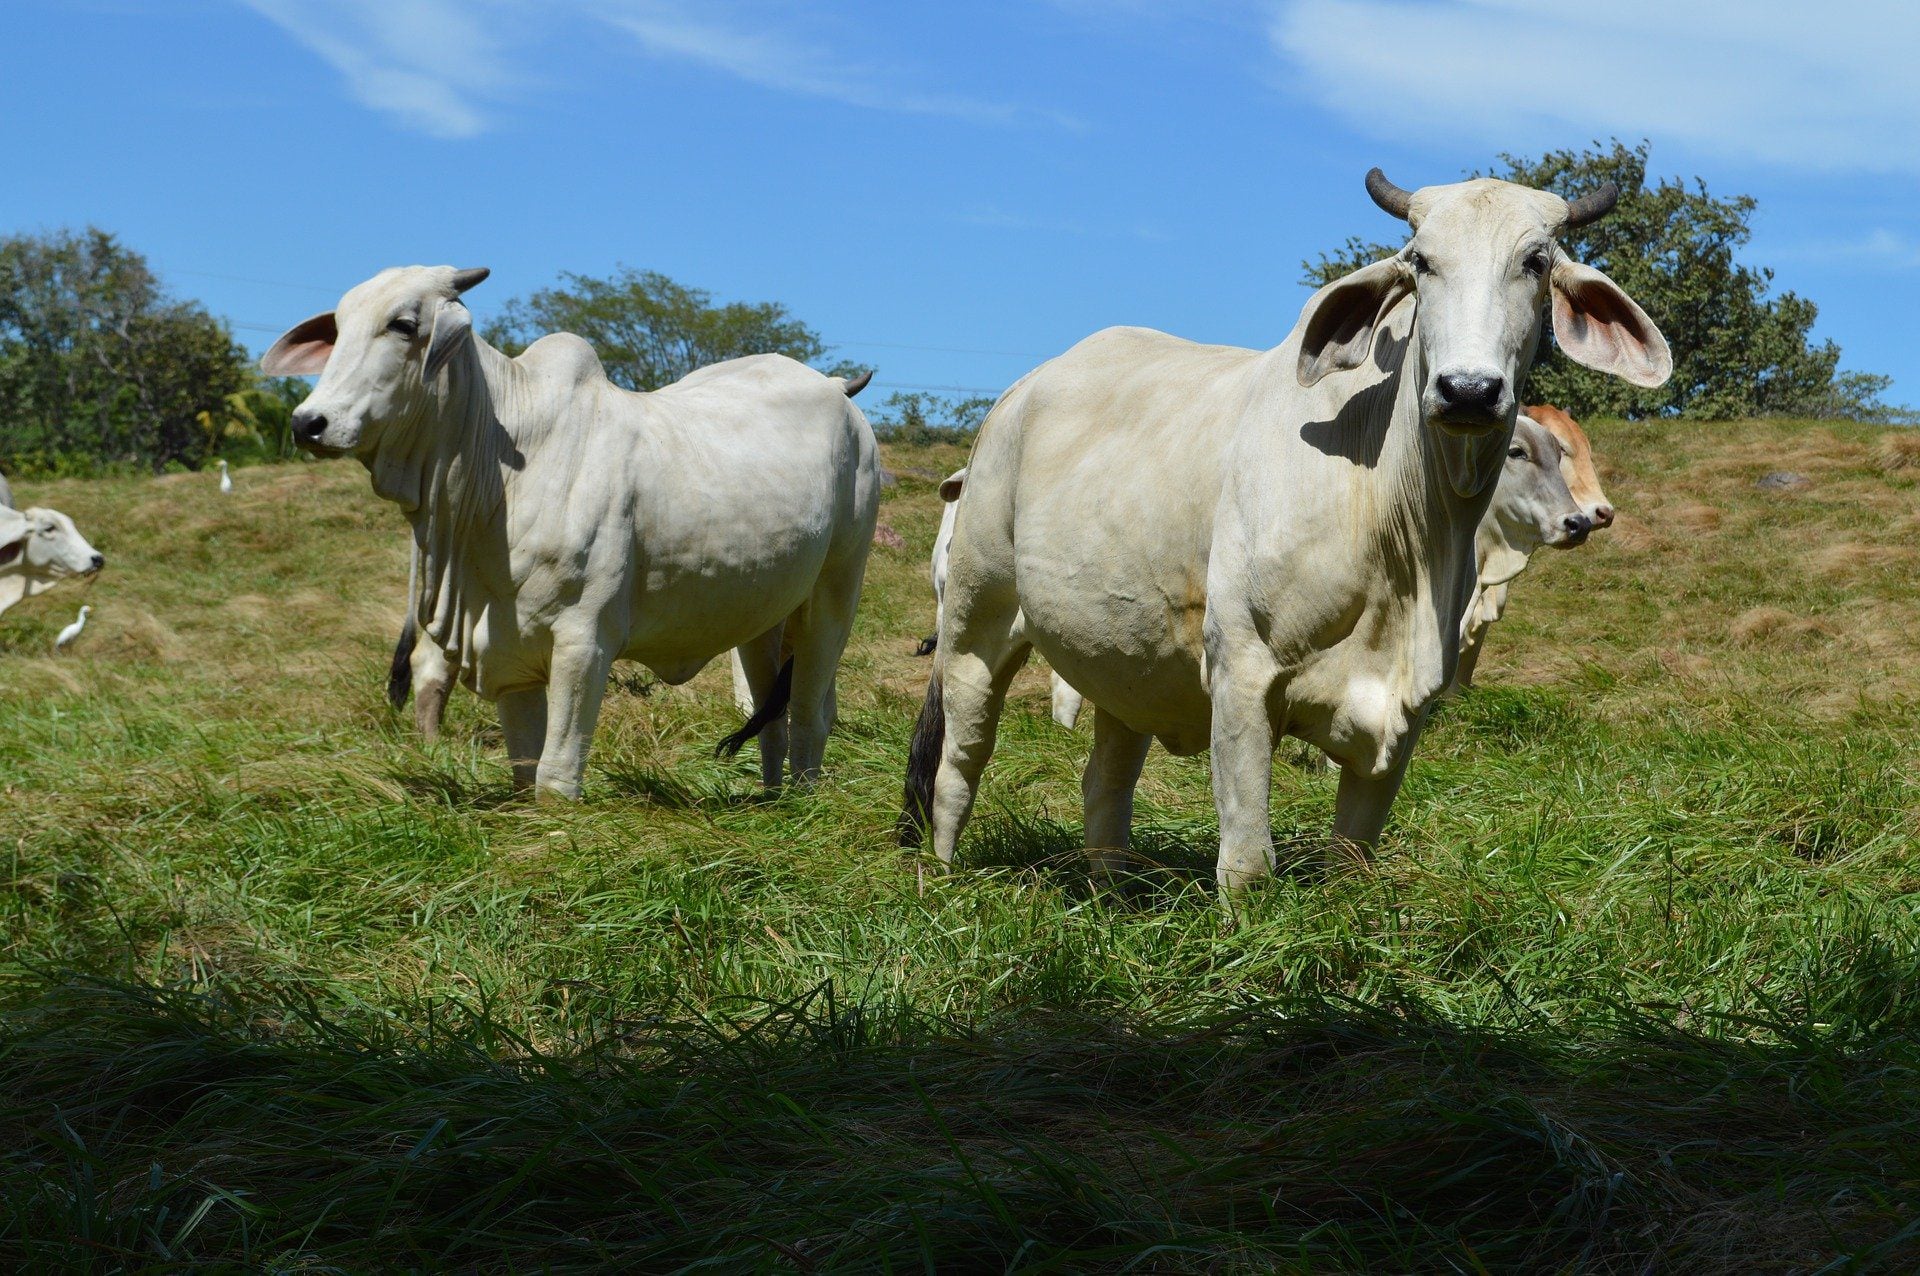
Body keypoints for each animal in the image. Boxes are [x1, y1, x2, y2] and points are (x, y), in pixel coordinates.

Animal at [264, 265, 880, 797]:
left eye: (404, 324)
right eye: (338, 327)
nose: (308, 422)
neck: (504, 462)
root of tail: (840, 398)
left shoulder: (584, 641)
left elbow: (555, 778)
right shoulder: (508, 658)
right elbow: (525, 773)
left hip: (836, 589)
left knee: (810, 709)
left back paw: (801, 803)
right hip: (763, 608)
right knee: (769, 708)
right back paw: (771, 798)